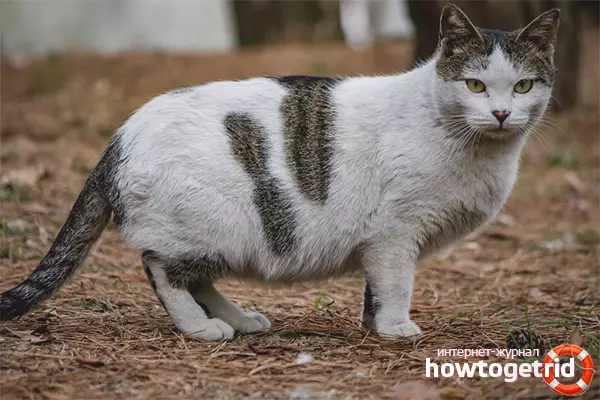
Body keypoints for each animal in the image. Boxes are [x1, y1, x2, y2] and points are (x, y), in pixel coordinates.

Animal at [2, 3, 560, 340]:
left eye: (524, 86)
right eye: (474, 85)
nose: (502, 114)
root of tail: (118, 138)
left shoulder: (381, 245)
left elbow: (375, 288)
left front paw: (372, 324)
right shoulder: (395, 236)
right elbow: (396, 285)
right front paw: (396, 328)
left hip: (221, 236)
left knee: (199, 280)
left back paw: (240, 320)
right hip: (206, 225)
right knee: (163, 270)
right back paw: (200, 328)